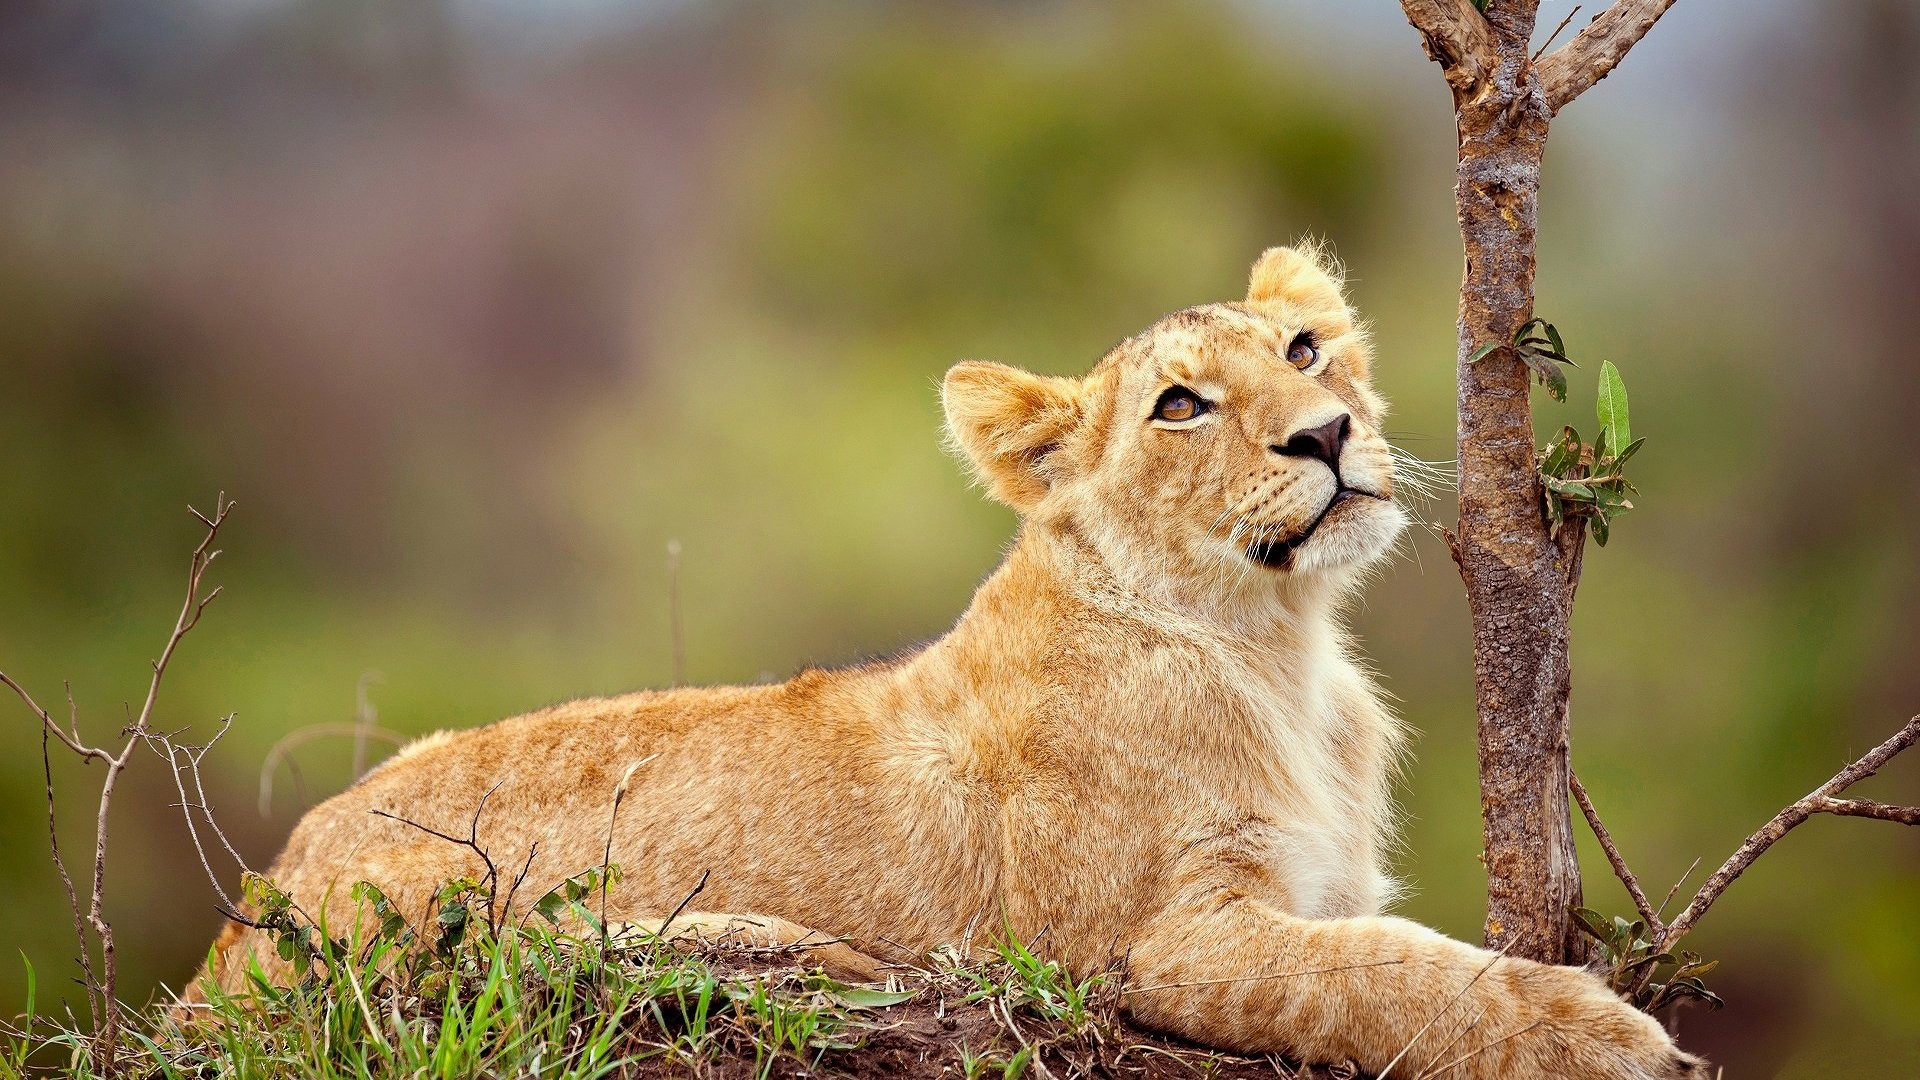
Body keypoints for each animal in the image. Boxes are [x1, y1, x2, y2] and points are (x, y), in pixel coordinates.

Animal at [198, 246, 1702, 1078]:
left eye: (1305, 347)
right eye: (1179, 405)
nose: (1325, 435)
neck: (1276, 644)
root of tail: (241, 919)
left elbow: (1384, 954)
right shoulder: (1142, 946)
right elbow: (1383, 979)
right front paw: (1605, 1039)